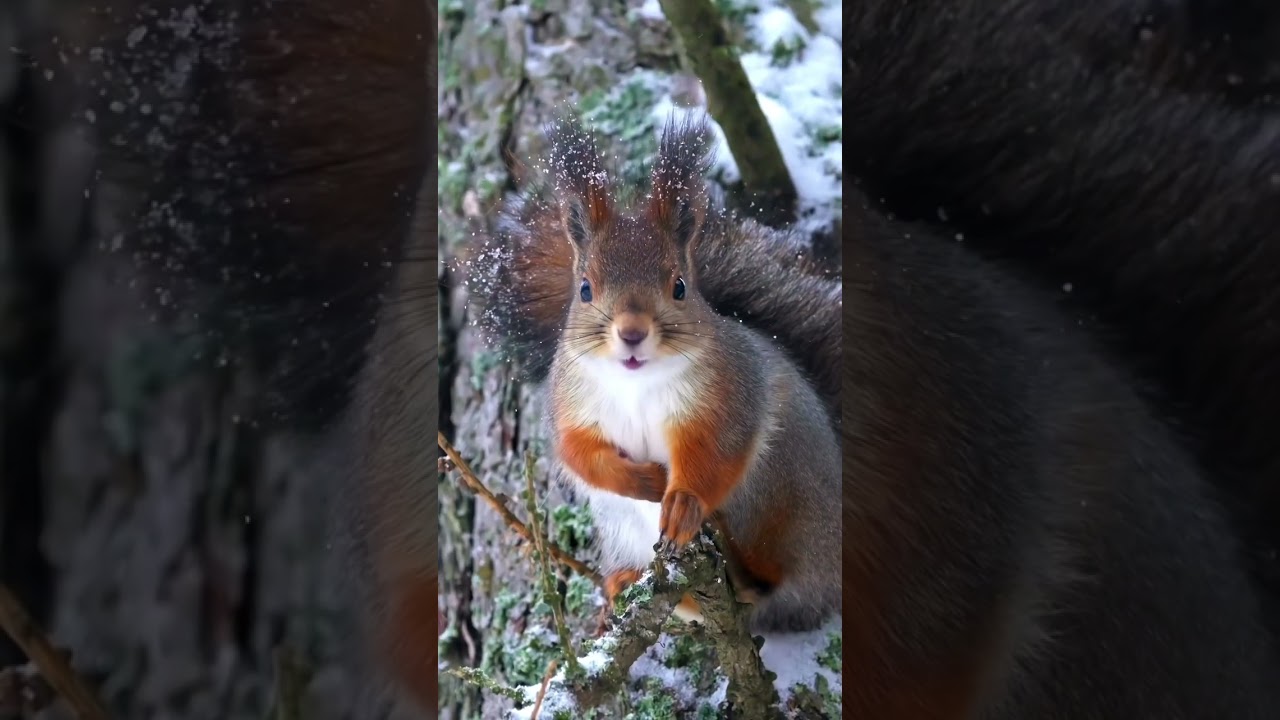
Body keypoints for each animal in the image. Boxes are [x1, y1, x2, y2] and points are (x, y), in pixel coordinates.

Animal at [469, 116, 842, 632]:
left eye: (679, 287)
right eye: (584, 289)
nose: (631, 332)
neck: (635, 385)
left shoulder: (729, 394)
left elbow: (716, 454)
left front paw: (682, 503)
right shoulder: (570, 406)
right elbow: (579, 454)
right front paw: (644, 481)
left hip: (783, 501)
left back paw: (745, 574)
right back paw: (626, 580)